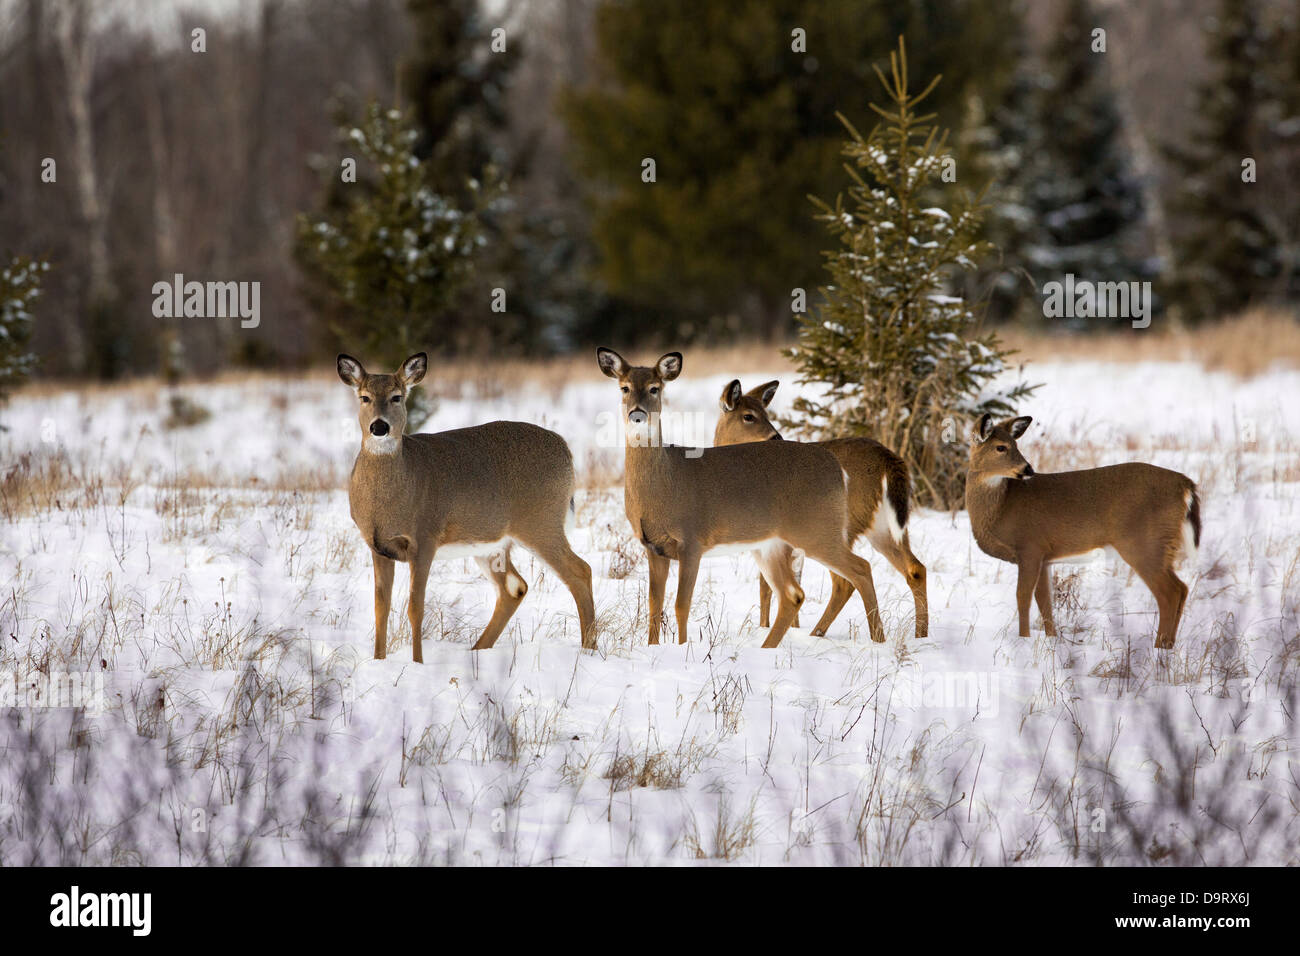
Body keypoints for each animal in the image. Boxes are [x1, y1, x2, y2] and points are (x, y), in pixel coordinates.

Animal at [337, 352, 596, 660]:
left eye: (397, 397)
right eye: (364, 397)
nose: (379, 427)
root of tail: (565, 448)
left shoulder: (425, 537)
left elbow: (415, 608)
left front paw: (417, 662)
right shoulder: (377, 546)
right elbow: (381, 609)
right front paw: (378, 661)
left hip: (541, 522)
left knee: (580, 571)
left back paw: (589, 649)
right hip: (492, 543)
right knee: (515, 587)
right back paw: (477, 650)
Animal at [597, 347, 886, 648]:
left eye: (655, 388)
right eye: (624, 388)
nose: (637, 414)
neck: (663, 487)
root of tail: (838, 468)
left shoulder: (692, 540)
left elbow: (681, 605)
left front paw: (683, 648)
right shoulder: (653, 547)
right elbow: (654, 606)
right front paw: (654, 648)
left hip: (817, 530)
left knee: (860, 568)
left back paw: (878, 639)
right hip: (772, 544)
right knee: (793, 594)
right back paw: (767, 648)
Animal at [714, 379, 928, 640]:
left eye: (766, 414)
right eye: (748, 416)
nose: (776, 437)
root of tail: (888, 459)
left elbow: (767, 585)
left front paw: (766, 628)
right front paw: (788, 629)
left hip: (837, 526)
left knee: (846, 580)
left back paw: (826, 633)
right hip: (884, 525)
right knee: (915, 568)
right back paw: (921, 635)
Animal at [965, 413, 1200, 649]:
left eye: (1014, 445)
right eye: (1001, 447)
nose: (1028, 469)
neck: (1001, 508)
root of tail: (1185, 484)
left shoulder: (1029, 547)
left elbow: (1023, 598)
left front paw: (1023, 640)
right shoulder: (1044, 557)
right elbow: (1045, 602)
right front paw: (1052, 640)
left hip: (1144, 542)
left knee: (1170, 593)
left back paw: (1159, 647)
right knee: (1182, 589)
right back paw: (1168, 646)